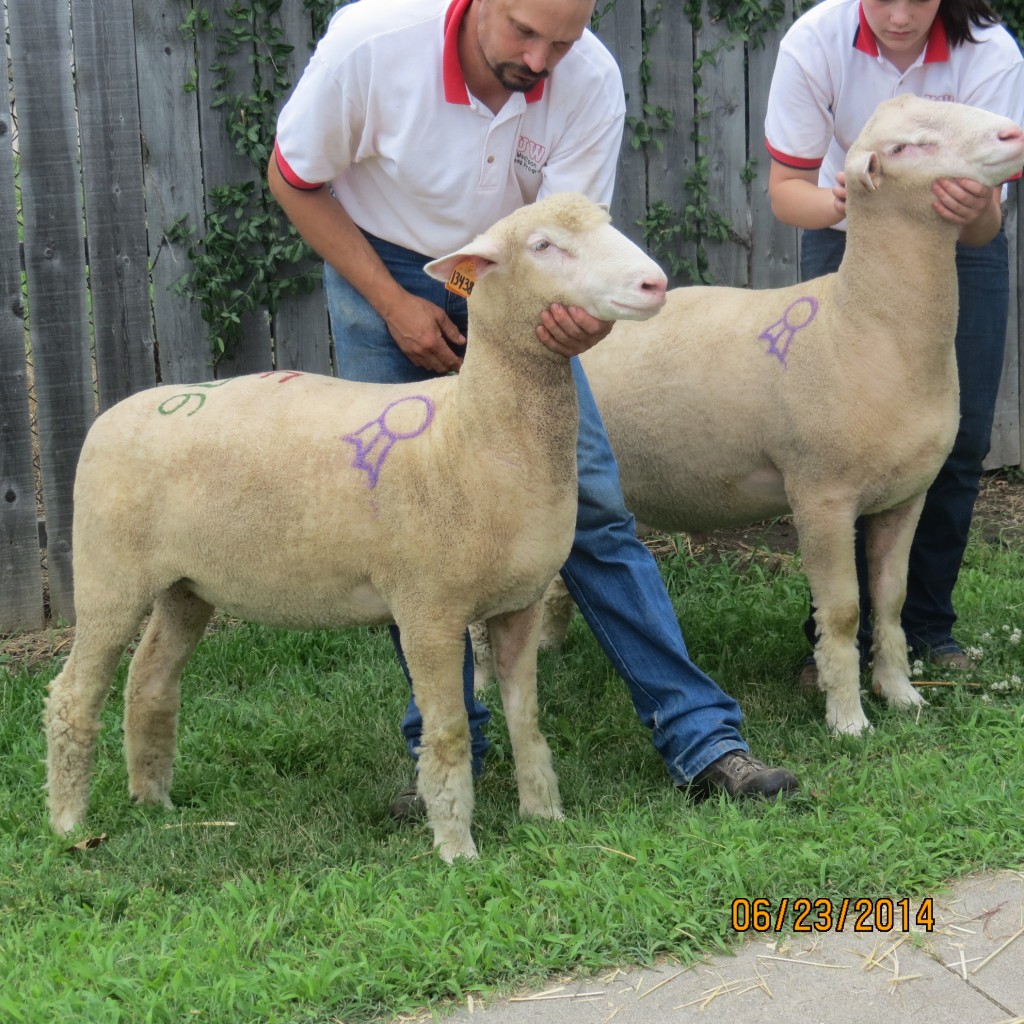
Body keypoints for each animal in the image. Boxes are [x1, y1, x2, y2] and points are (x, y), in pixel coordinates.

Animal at [43, 192, 668, 862]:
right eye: (543, 246)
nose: (654, 283)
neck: (473, 435)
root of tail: (114, 414)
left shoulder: (517, 604)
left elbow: (527, 719)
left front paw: (545, 817)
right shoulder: (428, 610)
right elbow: (447, 733)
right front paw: (457, 847)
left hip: (187, 586)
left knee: (150, 681)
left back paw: (153, 801)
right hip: (110, 574)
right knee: (74, 694)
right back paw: (69, 822)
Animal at [577, 96, 1024, 736]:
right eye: (906, 146)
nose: (1013, 132)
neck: (861, 322)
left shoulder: (905, 496)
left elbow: (891, 600)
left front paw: (901, 695)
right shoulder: (821, 496)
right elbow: (842, 613)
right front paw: (848, 719)